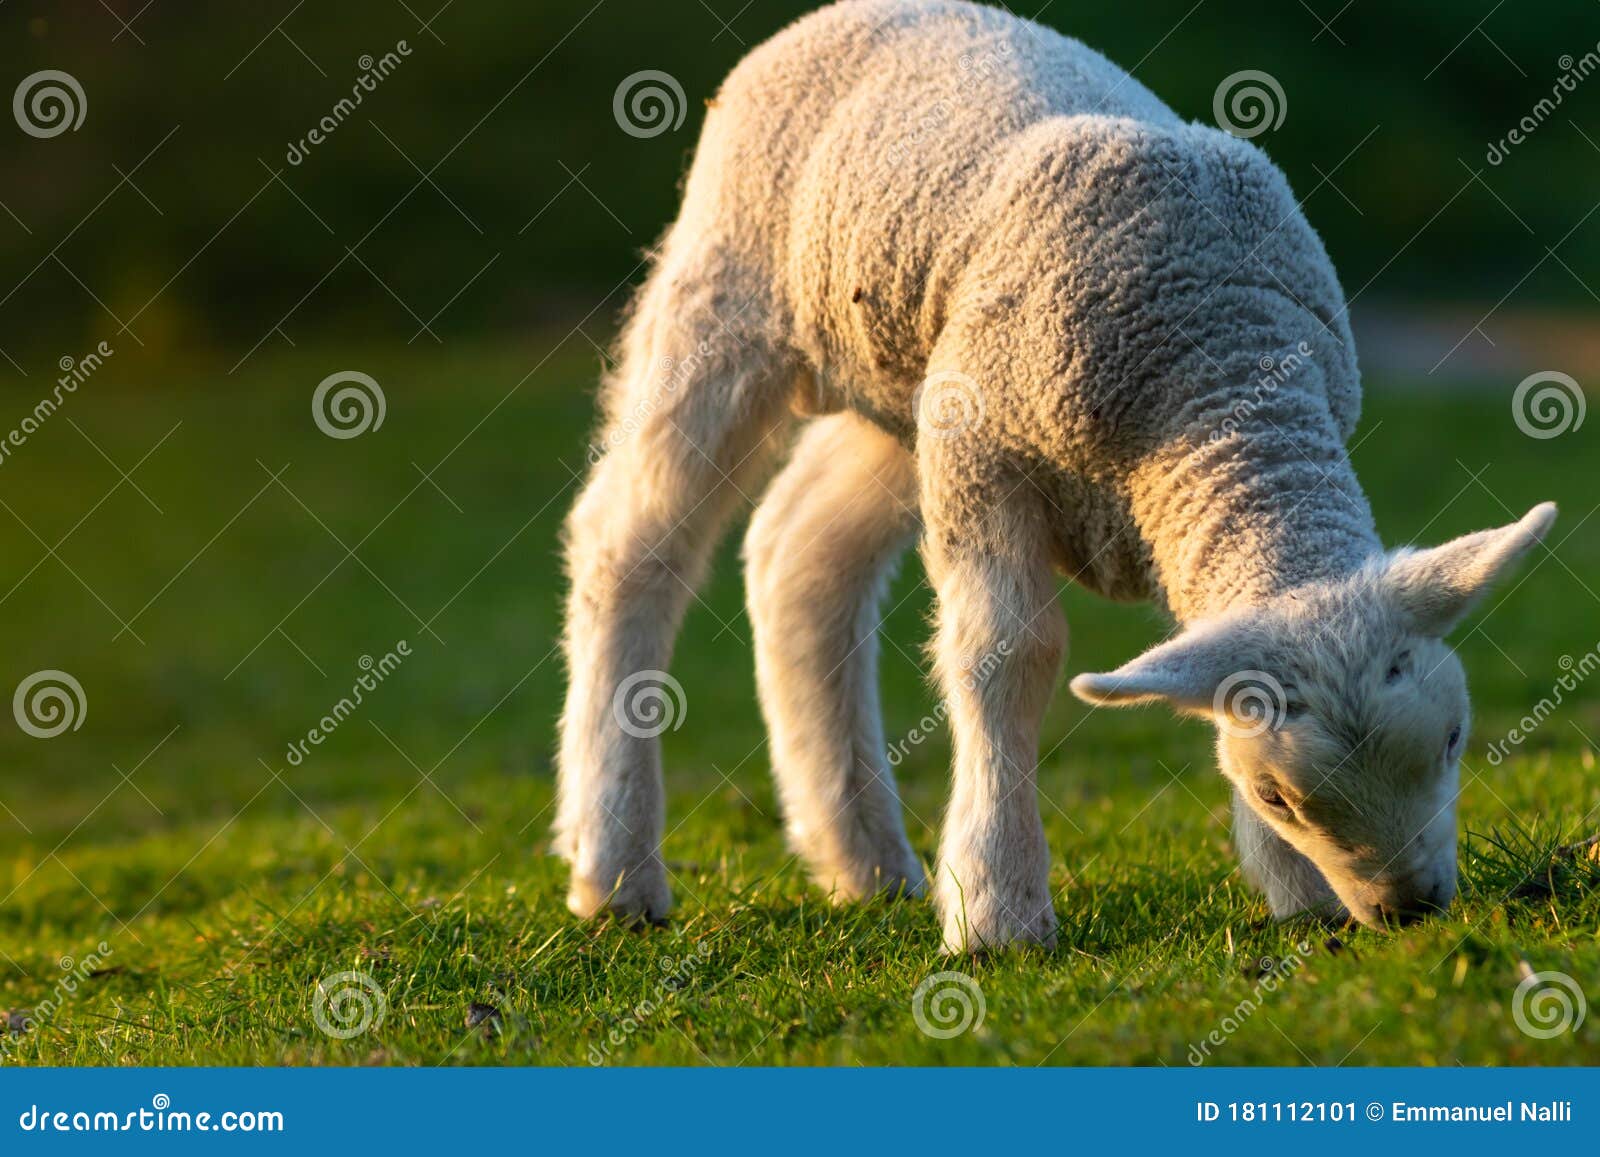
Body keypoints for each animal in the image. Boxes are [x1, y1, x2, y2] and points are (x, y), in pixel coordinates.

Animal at [555, 0, 1556, 952]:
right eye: (1278, 794)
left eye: (1454, 737)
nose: (1409, 908)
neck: (1217, 365)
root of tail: (851, 10)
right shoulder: (984, 452)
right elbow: (1009, 654)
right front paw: (997, 910)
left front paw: (1298, 895)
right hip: (728, 297)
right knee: (630, 542)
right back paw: (615, 871)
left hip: (913, 384)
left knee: (800, 551)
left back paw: (864, 861)